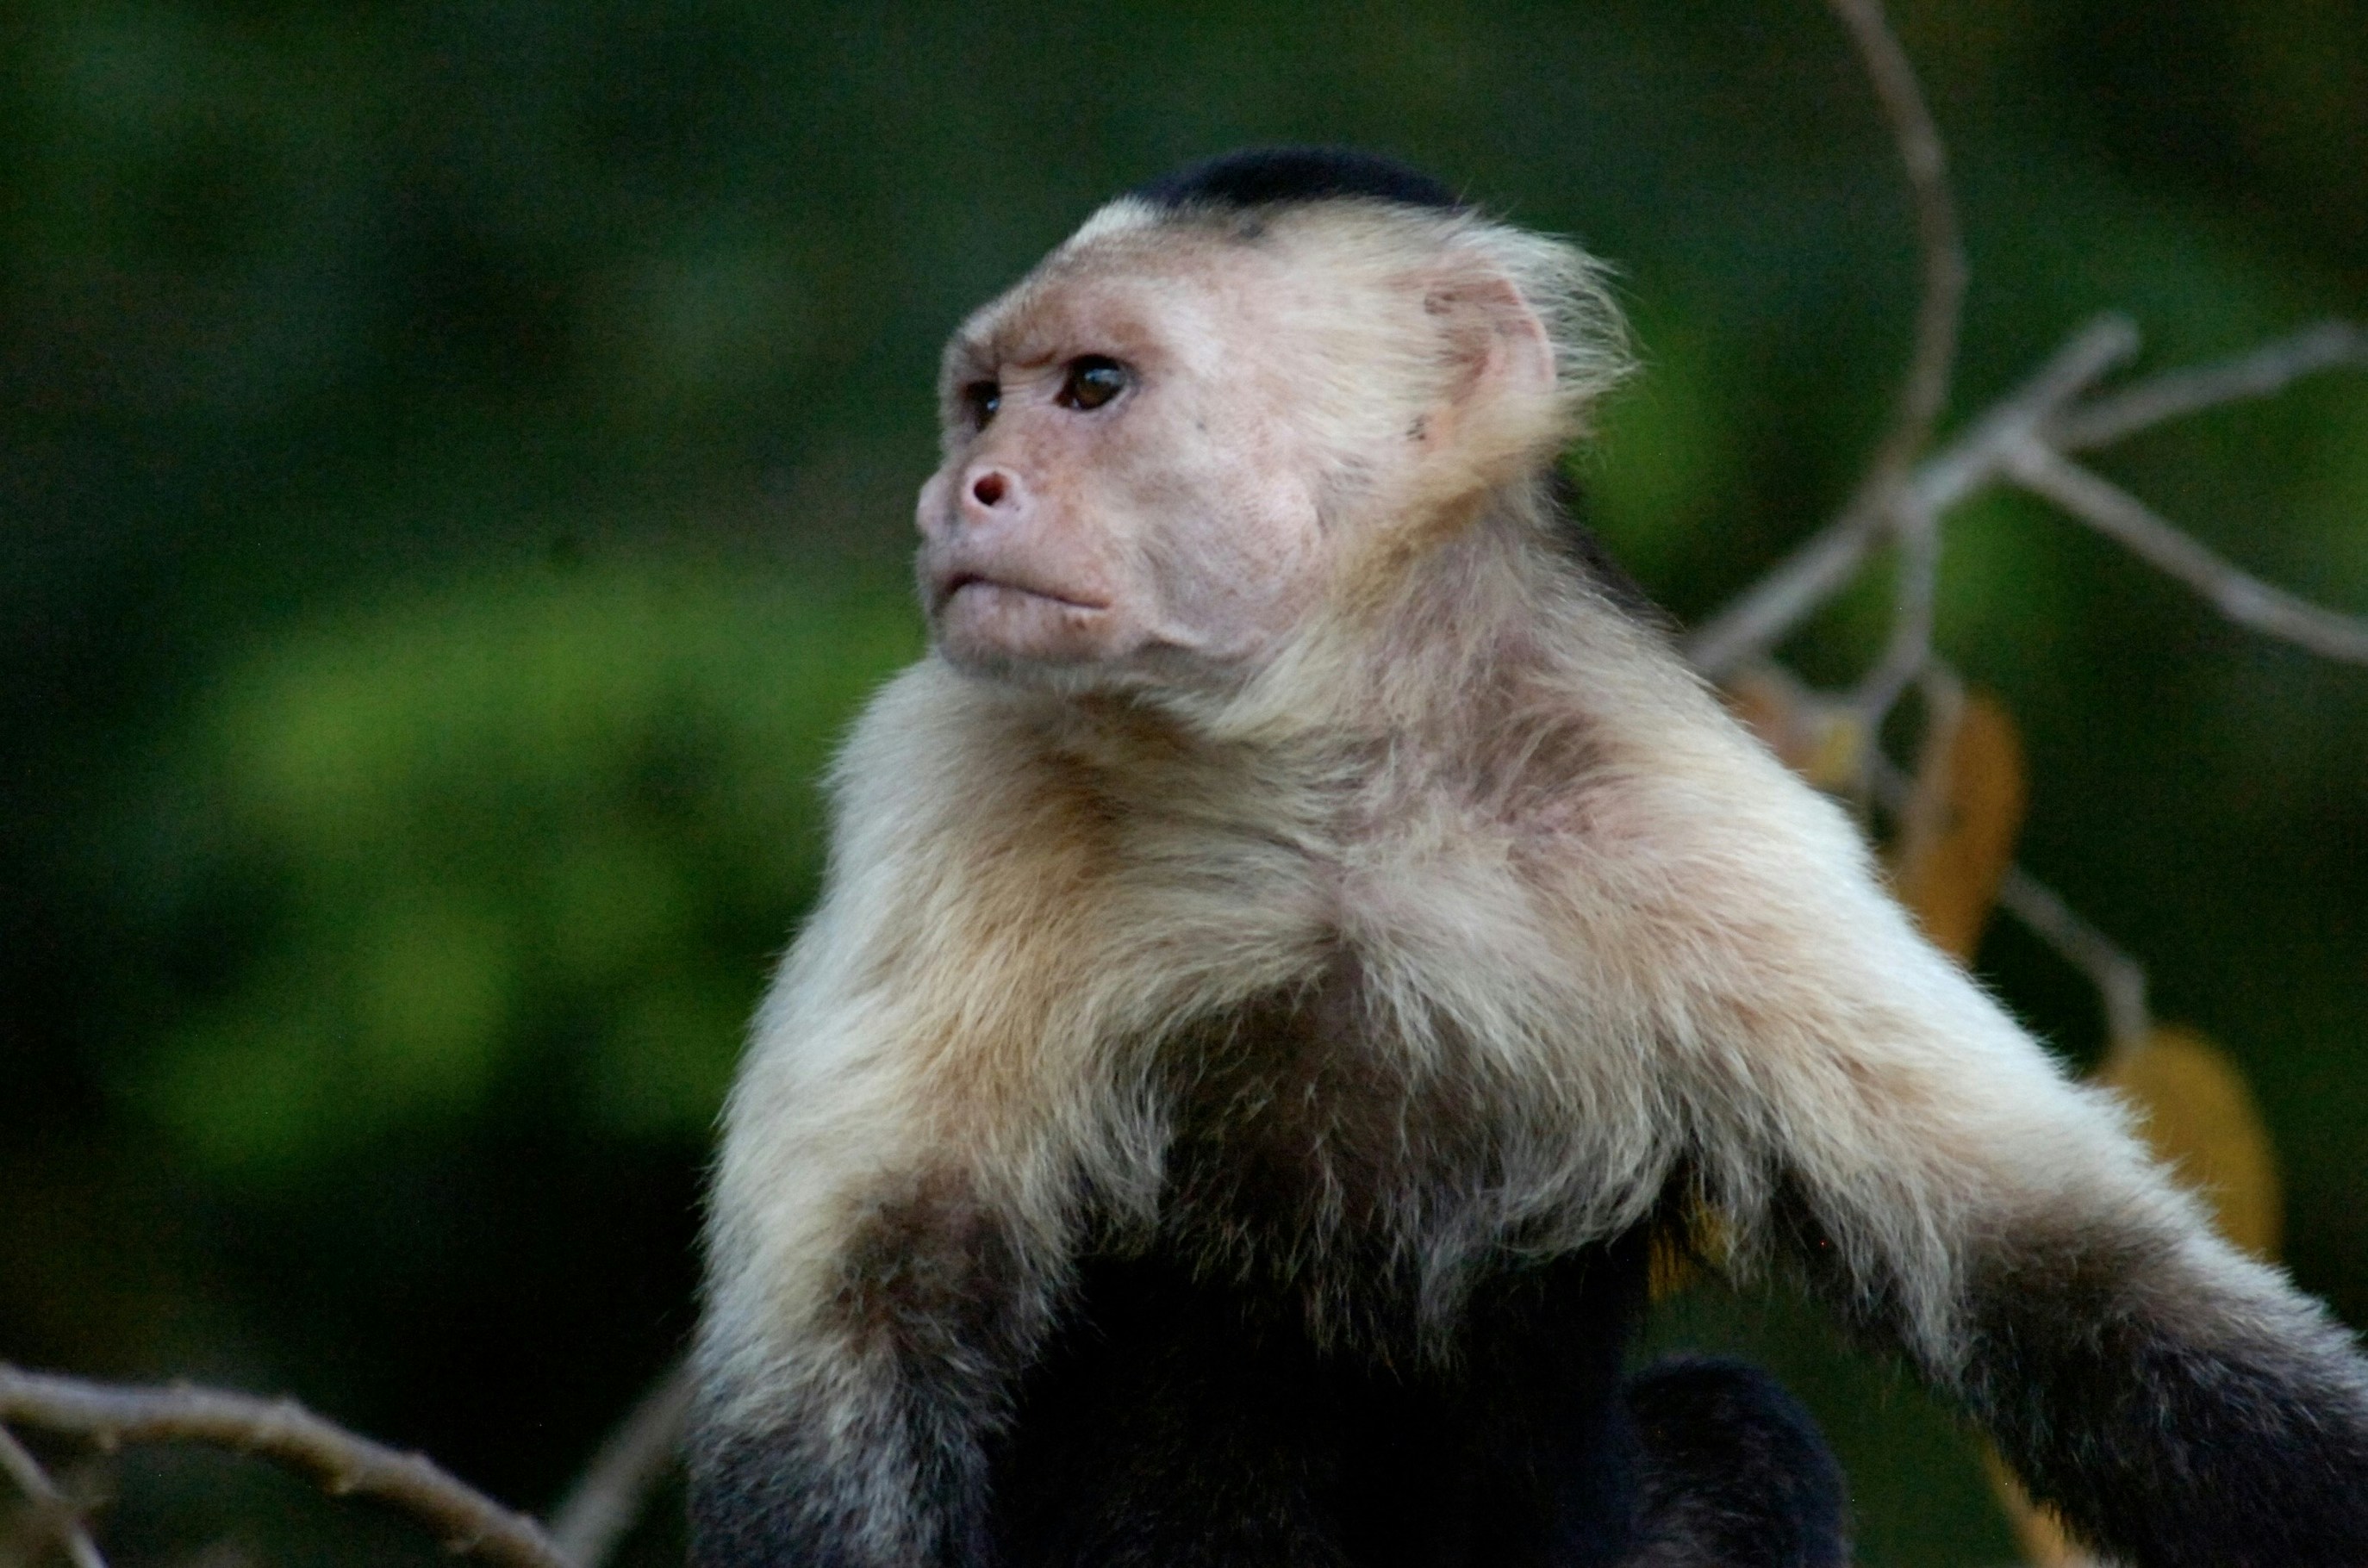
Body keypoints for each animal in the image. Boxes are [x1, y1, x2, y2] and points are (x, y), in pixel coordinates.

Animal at [687, 147, 2368, 1568]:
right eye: (982, 402)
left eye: (1091, 388)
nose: (955, 494)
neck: (1332, 784)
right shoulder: (947, 769)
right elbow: (853, 1343)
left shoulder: (1697, 815)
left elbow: (2078, 1290)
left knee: (1744, 1440)